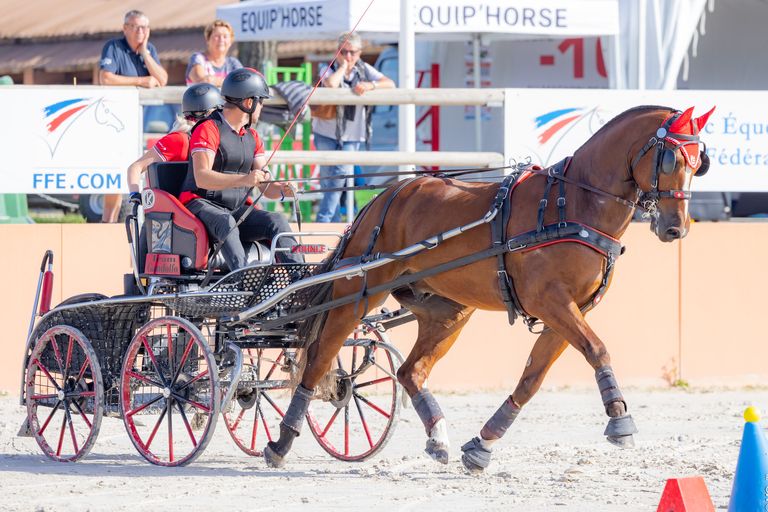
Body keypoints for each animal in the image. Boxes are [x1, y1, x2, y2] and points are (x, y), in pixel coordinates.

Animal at [264, 104, 715, 472]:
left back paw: (438, 438)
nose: (676, 228)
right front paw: (620, 419)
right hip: (359, 291)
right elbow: (597, 349)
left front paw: (482, 445)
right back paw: (282, 442)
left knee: (411, 371)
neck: (572, 205)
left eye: (699, 163)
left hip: (449, 311)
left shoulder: (569, 311)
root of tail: (385, 196)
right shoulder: (551, 301)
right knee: (321, 357)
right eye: (671, 158)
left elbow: (532, 378)